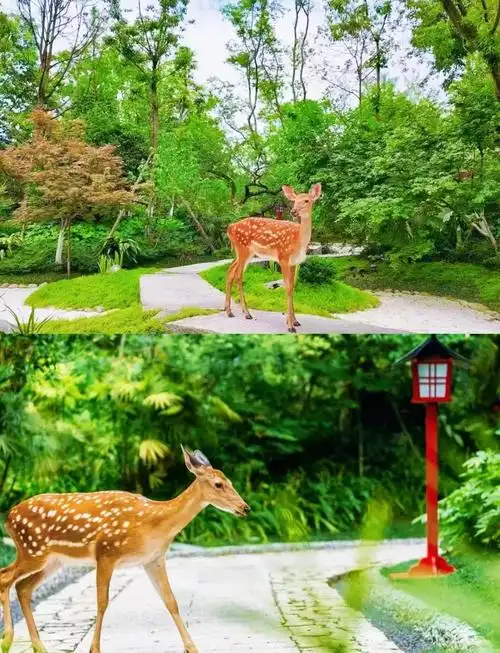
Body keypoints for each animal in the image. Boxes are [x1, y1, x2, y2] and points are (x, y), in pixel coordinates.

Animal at [0, 447, 250, 653]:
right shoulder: (106, 552)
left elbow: (171, 601)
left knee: (23, 587)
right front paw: (94, 649)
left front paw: (192, 648)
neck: (153, 525)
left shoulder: (153, 559)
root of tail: (8, 518)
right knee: (6, 577)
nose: (245, 507)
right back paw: (7, 640)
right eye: (218, 484)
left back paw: (39, 647)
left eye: (229, 481)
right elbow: (102, 602)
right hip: (32, 550)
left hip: (52, 560)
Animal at [225, 183, 322, 333]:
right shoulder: (283, 258)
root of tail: (229, 227)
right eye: (294, 201)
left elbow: (293, 286)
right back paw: (246, 313)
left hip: (244, 253)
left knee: (230, 271)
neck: (298, 240)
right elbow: (287, 288)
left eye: (306, 200)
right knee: (238, 276)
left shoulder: (295, 262)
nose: (293, 211)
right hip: (243, 249)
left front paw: (295, 321)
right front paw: (290, 326)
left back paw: (229, 311)